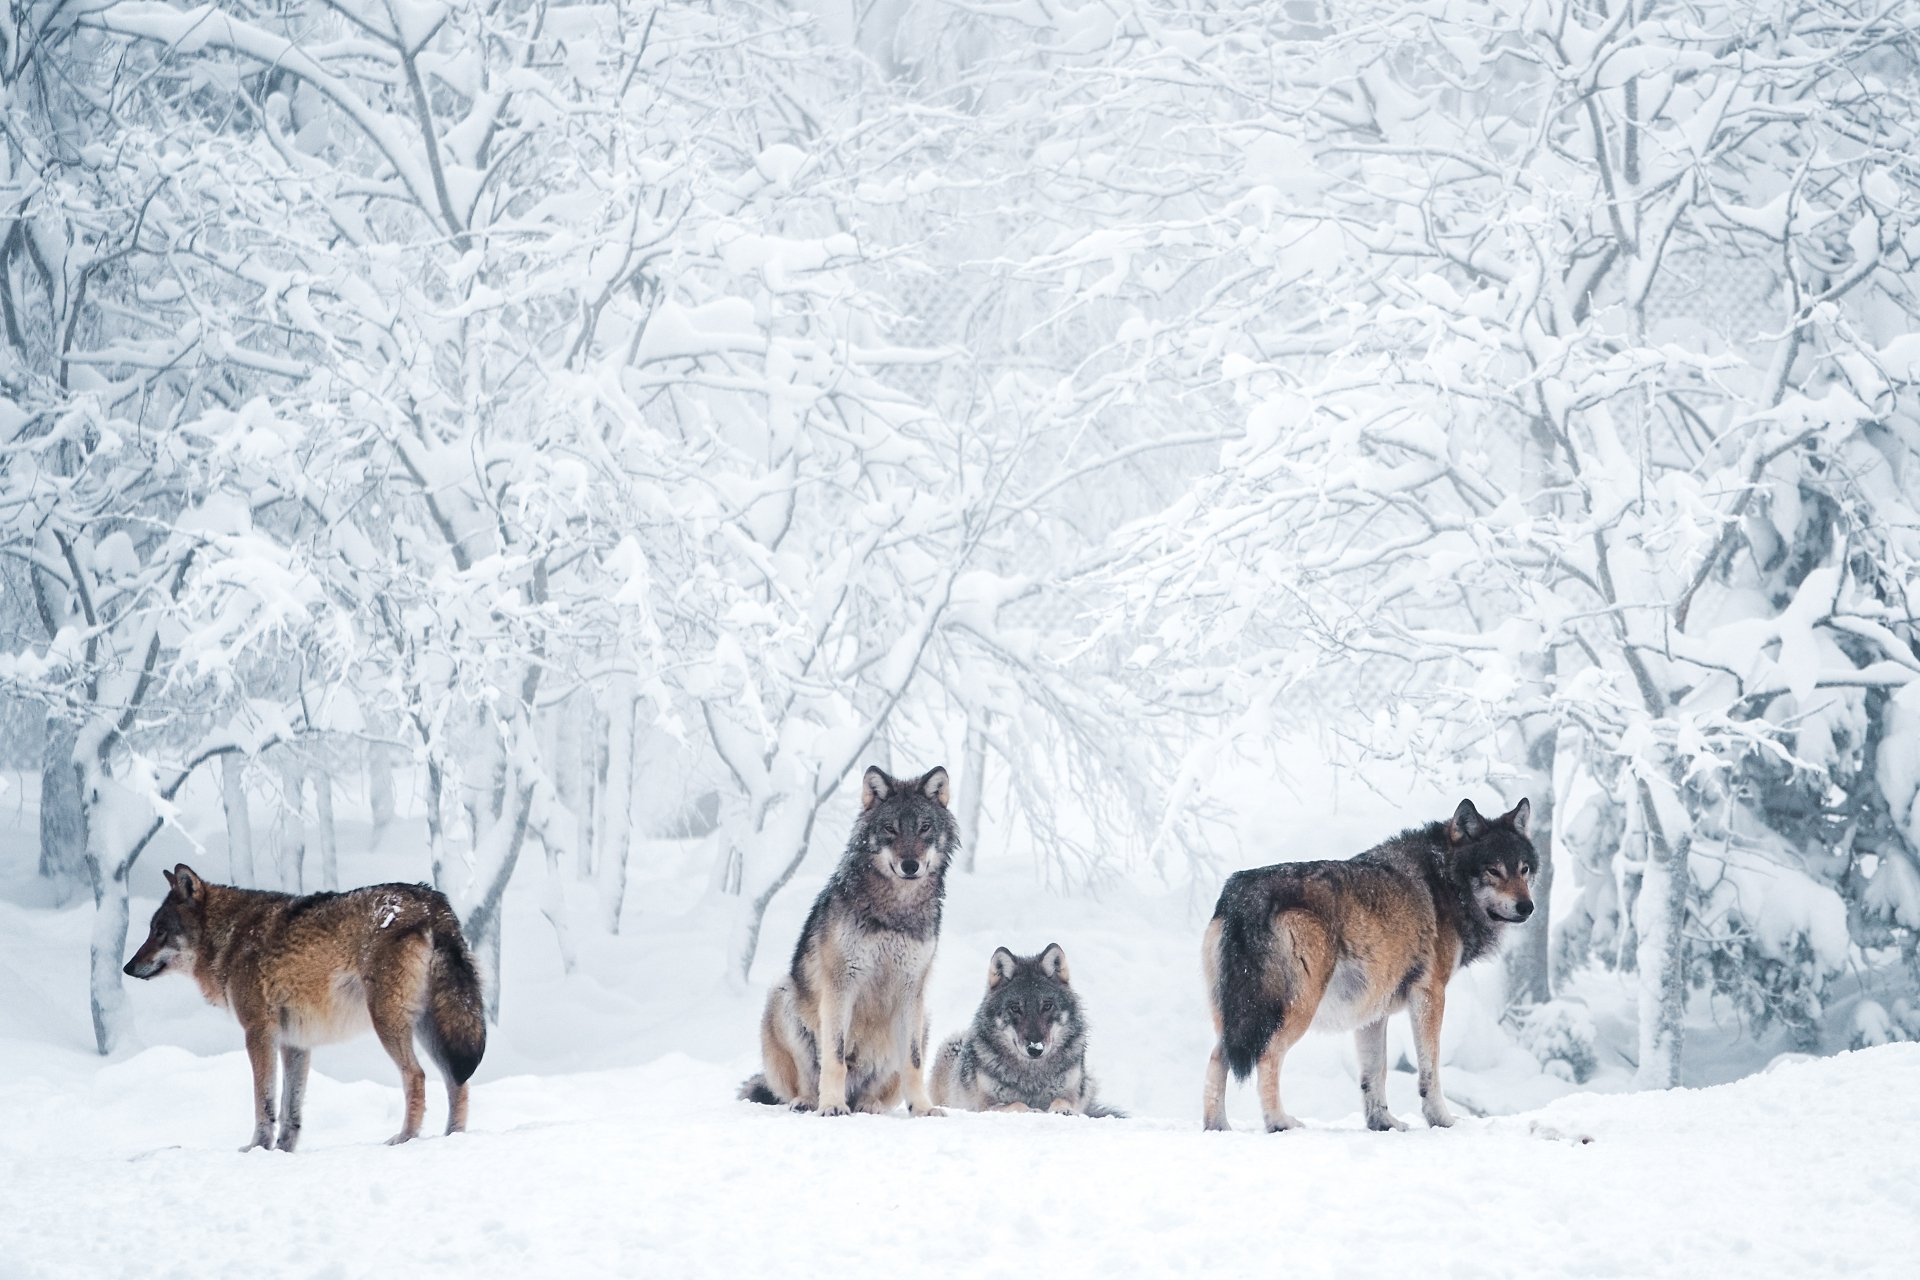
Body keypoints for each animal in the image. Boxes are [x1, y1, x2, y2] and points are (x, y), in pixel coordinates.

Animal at [123, 864, 486, 1151]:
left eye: (159, 932)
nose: (127, 967)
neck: (231, 938)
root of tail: (433, 903)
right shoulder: (294, 1043)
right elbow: (290, 1108)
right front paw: (284, 1150)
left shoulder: (258, 1033)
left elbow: (264, 1101)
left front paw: (257, 1148)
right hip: (431, 1026)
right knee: (457, 1081)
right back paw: (453, 1137)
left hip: (389, 1023)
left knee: (417, 1076)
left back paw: (405, 1138)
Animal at [739, 764, 956, 1117]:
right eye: (890, 829)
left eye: (924, 828)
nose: (910, 865)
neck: (896, 909)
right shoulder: (842, 983)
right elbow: (835, 1057)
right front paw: (831, 1104)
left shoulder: (911, 989)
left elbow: (913, 1062)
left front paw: (923, 1109)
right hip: (782, 995)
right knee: (805, 1081)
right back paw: (810, 1101)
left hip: (923, 1020)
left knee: (874, 1090)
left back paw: (869, 1104)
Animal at [930, 943, 1123, 1117]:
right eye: (1015, 1008)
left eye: (1047, 1006)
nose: (1035, 1049)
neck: (1032, 1075)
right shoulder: (985, 1106)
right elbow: (1017, 1104)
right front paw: (1032, 1110)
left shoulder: (1071, 1093)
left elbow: (1062, 1100)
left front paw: (1063, 1110)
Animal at [1201, 798, 1537, 1133]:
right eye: (1493, 870)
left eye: (1524, 869)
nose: (1527, 907)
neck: (1444, 880)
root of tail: (1245, 896)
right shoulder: (1430, 994)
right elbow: (1430, 1070)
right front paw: (1442, 1120)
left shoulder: (1372, 1011)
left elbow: (1375, 1073)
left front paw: (1382, 1122)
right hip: (1294, 1010)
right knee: (1267, 1057)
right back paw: (1279, 1122)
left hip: (1235, 1015)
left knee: (1217, 1059)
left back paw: (1217, 1127)